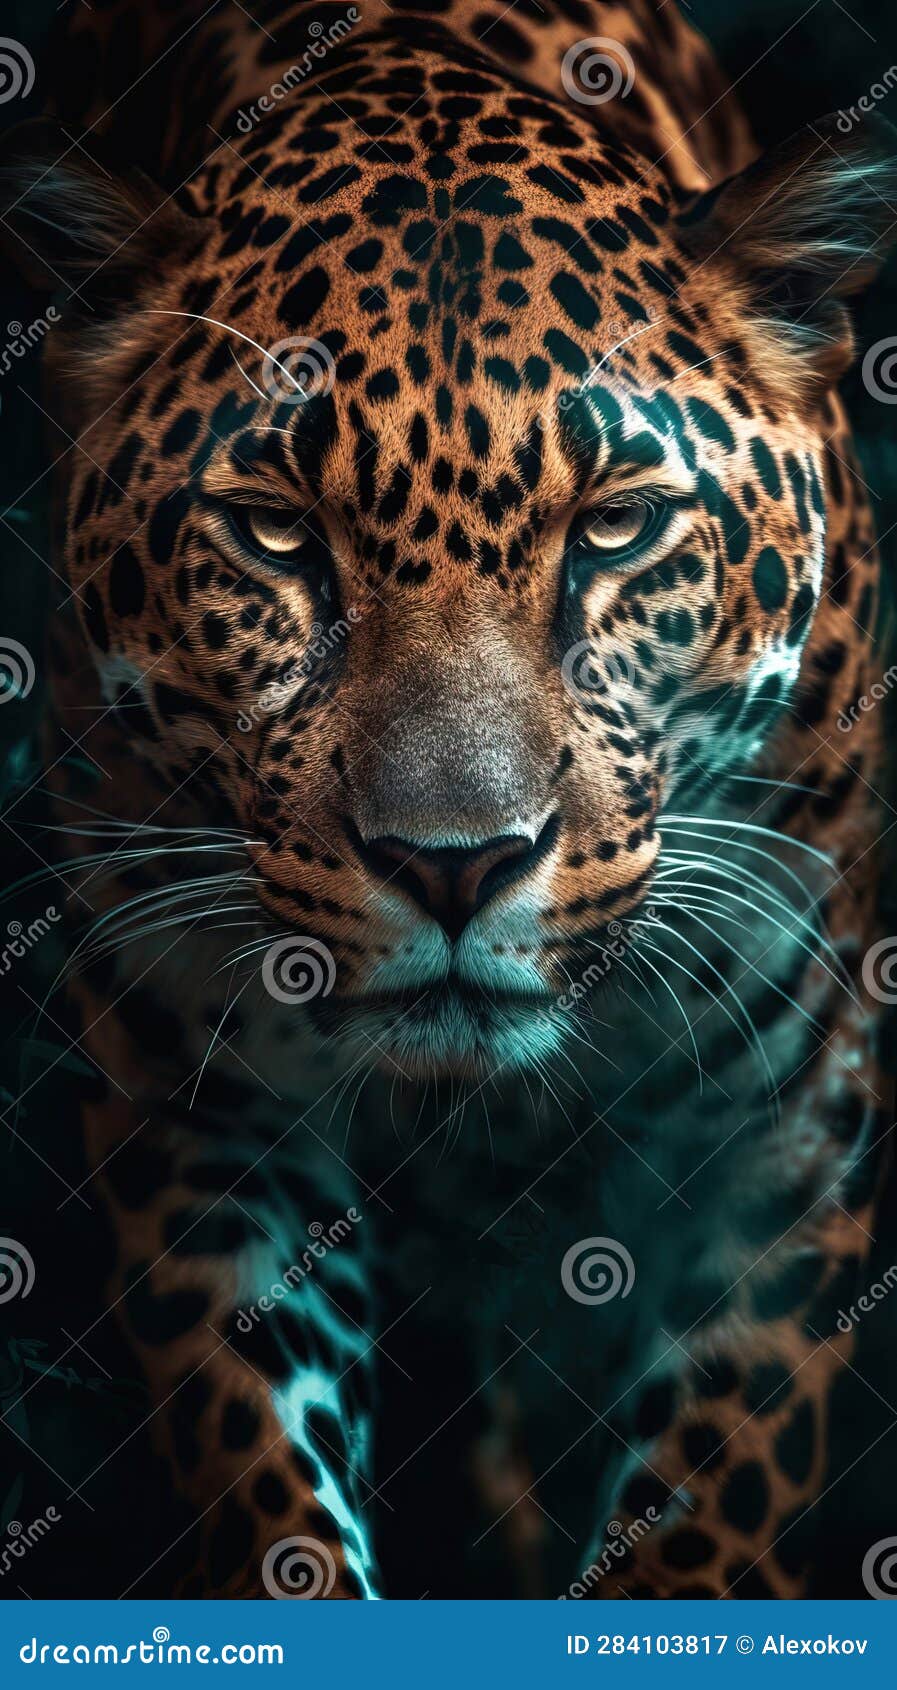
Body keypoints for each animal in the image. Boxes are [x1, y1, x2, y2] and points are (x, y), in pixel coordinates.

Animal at [1, 0, 896, 1599]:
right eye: (274, 533)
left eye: (617, 526)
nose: (456, 864)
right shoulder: (201, 1113)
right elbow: (274, 1495)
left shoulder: (791, 1136)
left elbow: (711, 1509)